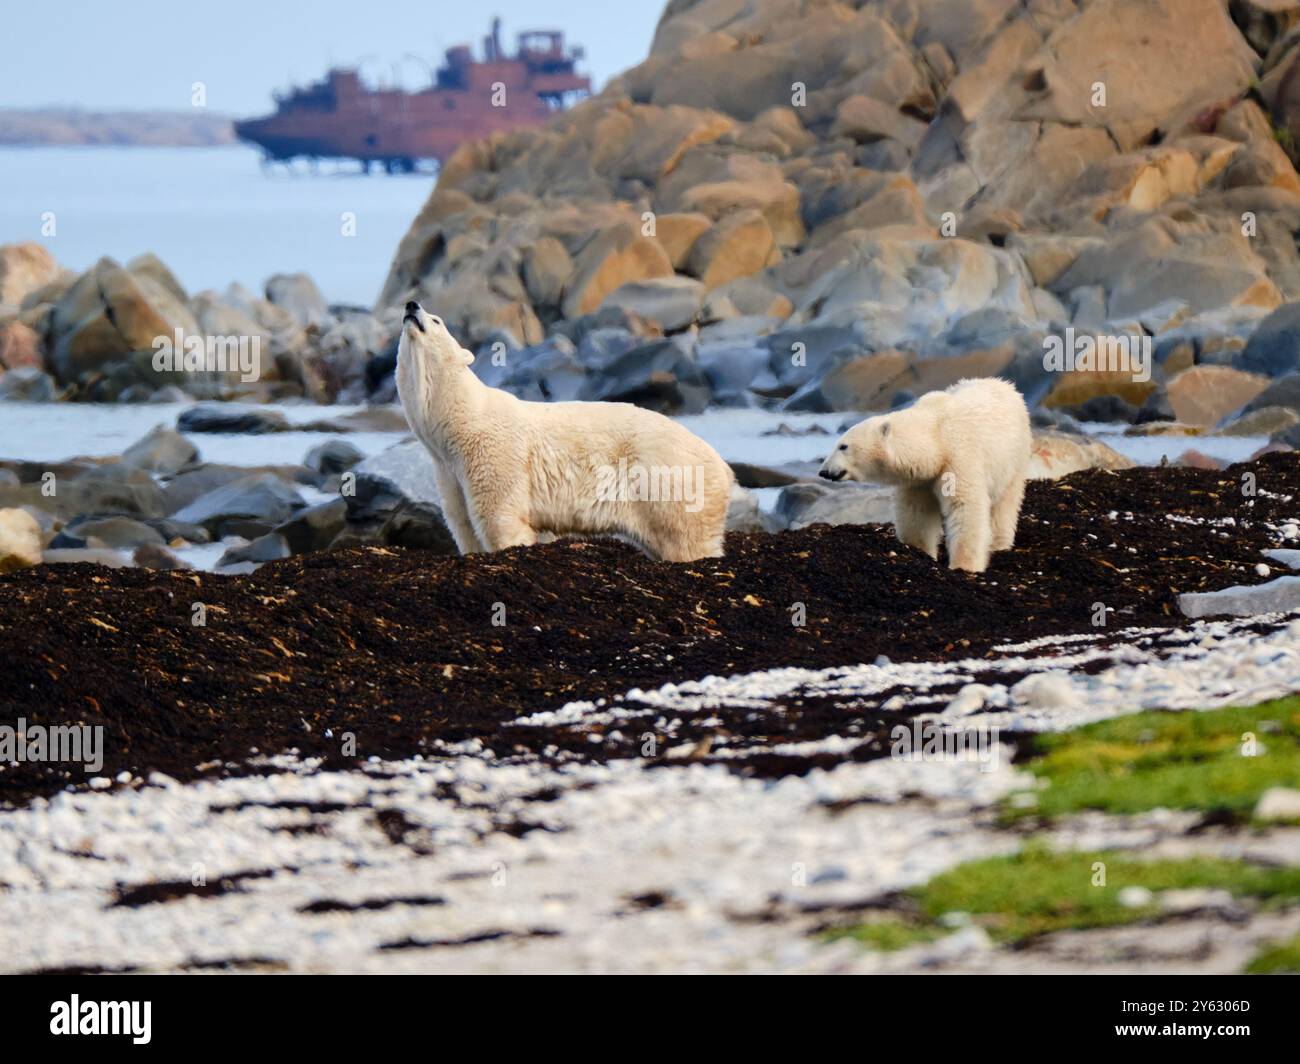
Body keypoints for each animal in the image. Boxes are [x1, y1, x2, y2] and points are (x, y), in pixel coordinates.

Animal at [396, 301, 734, 561]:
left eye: (436, 320)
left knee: (686, 539)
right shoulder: (448, 471)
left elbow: (501, 520)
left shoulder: (494, 455)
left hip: (667, 481)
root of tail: (723, 467)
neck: (463, 420)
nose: (411, 305)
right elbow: (464, 525)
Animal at [817, 378, 1031, 572]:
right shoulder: (919, 478)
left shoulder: (959, 458)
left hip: (1014, 455)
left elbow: (965, 506)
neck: (937, 437)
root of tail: (1005, 384)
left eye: (843, 446)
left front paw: (963, 565)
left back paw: (998, 543)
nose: (824, 471)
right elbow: (916, 511)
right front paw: (919, 551)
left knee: (1005, 502)